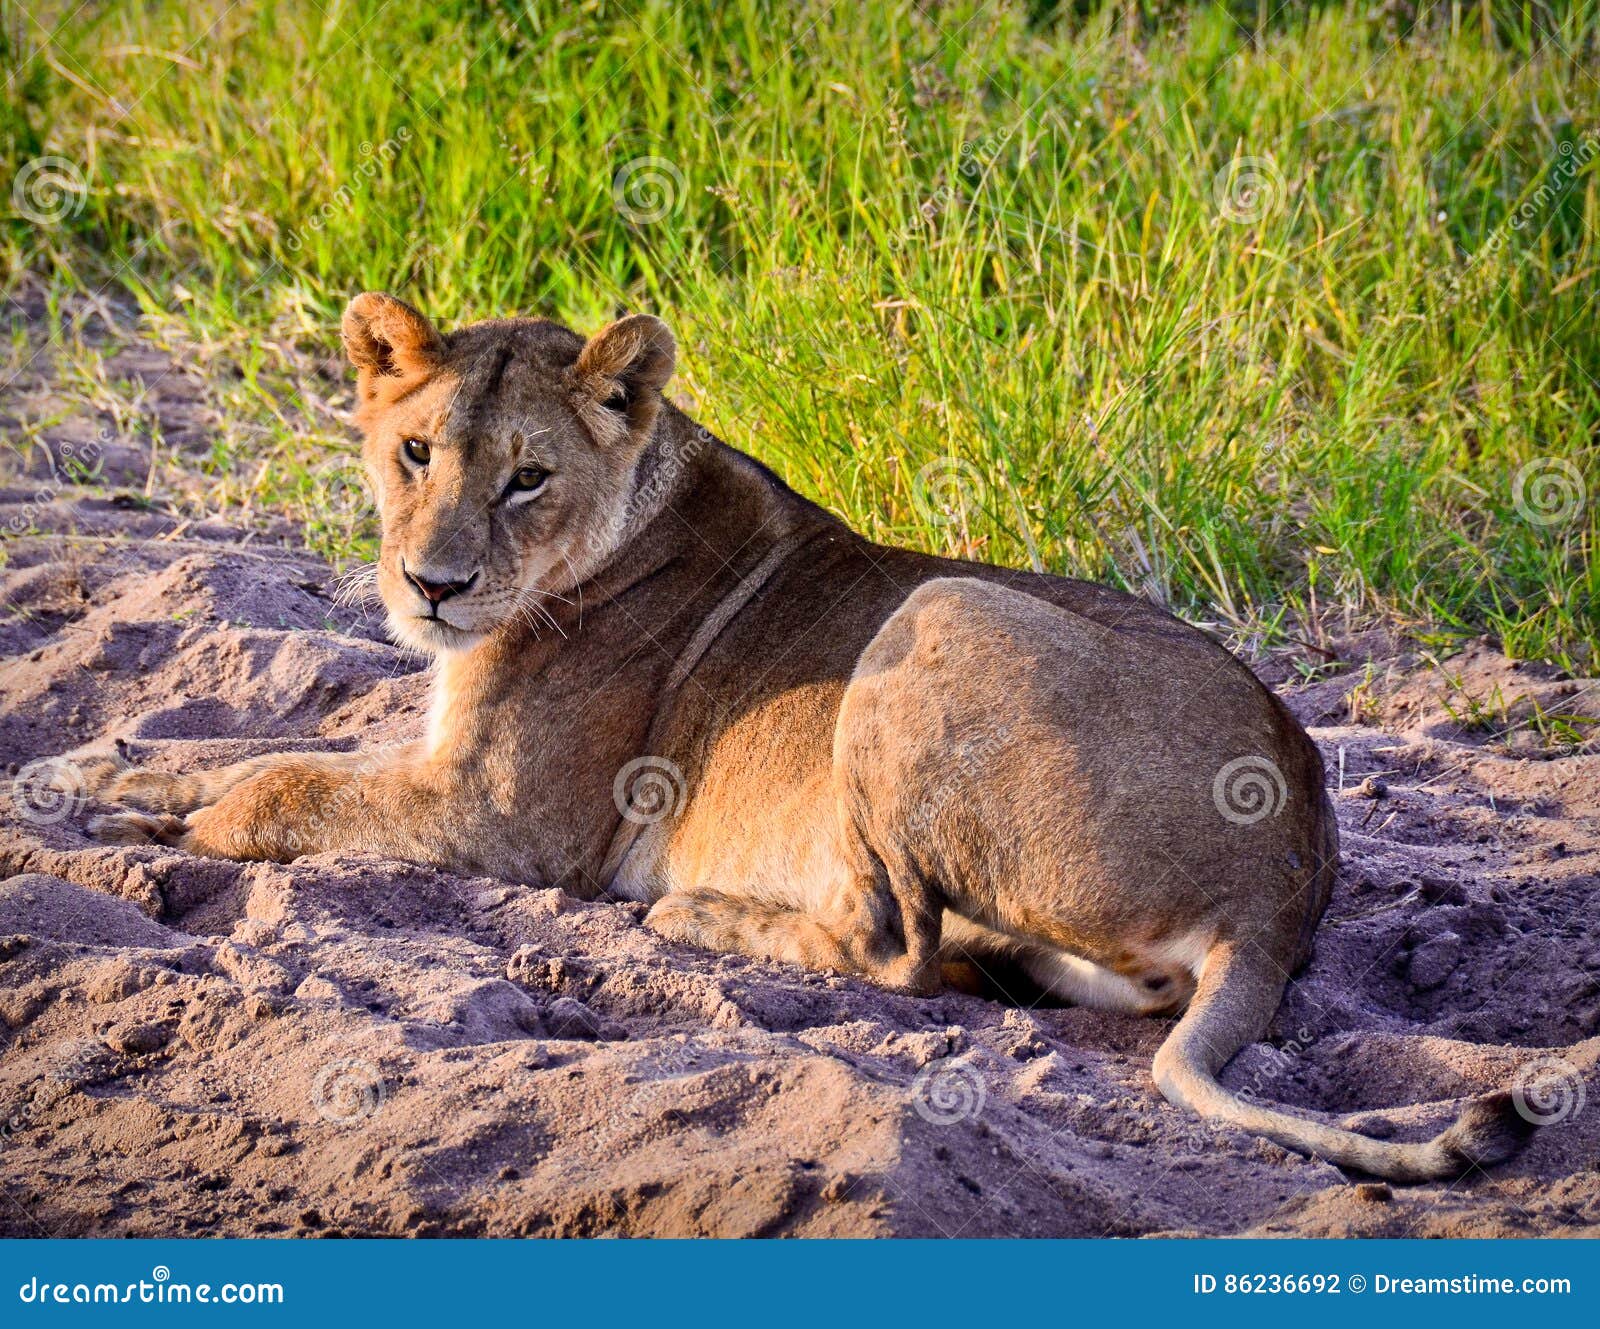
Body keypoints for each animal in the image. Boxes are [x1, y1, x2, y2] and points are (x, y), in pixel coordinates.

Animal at [88, 293, 1532, 1182]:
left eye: (526, 477)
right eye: (414, 453)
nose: (429, 588)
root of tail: (1283, 883)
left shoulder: (504, 819)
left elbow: (277, 784)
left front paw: (165, 823)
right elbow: (242, 745)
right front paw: (89, 779)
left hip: (938, 610)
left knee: (896, 949)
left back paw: (698, 918)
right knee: (957, 953)